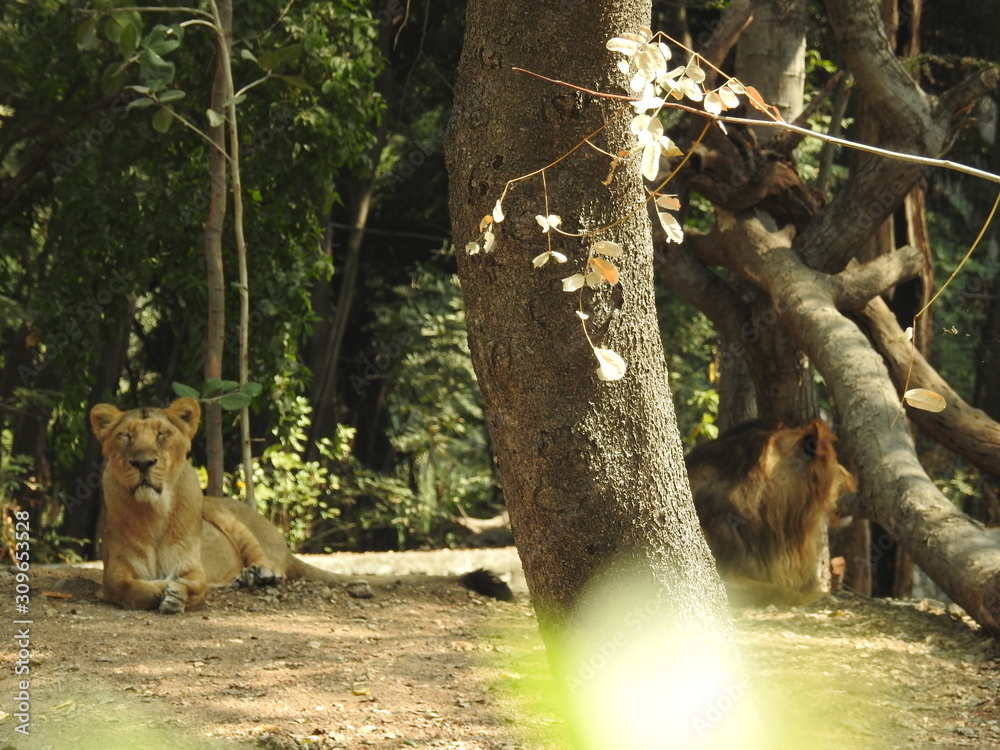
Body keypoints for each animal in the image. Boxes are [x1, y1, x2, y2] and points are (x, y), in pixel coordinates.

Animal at [90, 397, 371, 613]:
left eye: (162, 434)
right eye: (126, 436)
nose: (143, 463)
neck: (154, 511)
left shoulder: (192, 567)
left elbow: (199, 587)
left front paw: (178, 594)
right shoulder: (113, 573)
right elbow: (131, 588)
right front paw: (164, 589)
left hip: (220, 511)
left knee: (266, 560)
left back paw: (262, 574)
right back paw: (242, 578)